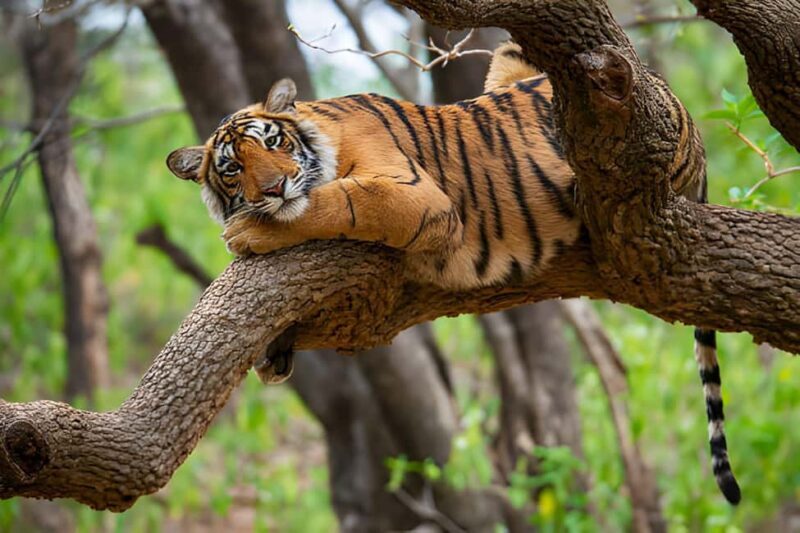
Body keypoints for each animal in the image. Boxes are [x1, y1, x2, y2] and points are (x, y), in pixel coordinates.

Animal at [165, 42, 740, 504]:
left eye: (275, 143)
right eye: (233, 167)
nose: (274, 188)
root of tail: (687, 115)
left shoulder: (415, 196)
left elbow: (329, 204)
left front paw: (248, 231)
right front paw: (273, 348)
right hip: (510, 55)